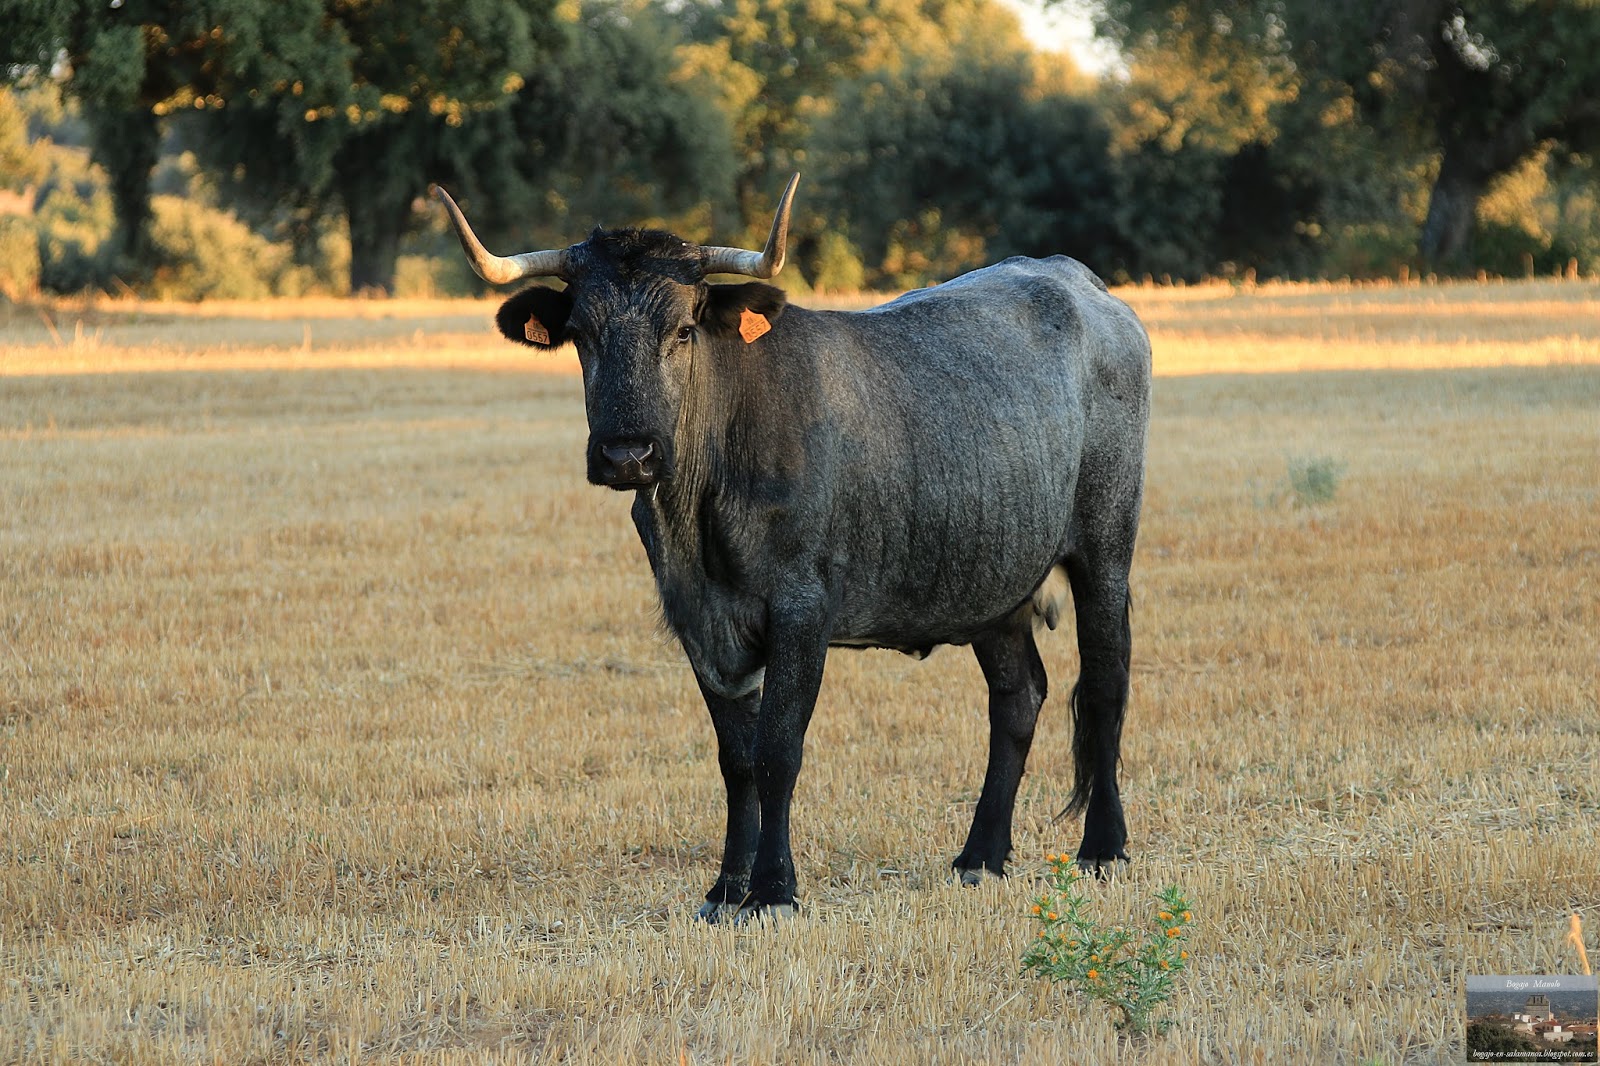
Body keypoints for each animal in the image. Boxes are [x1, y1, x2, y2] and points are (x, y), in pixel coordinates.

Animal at [432, 176, 1152, 922]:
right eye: (581, 333)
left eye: (682, 329)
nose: (627, 454)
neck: (698, 505)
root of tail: (1079, 283)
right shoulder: (700, 623)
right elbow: (736, 759)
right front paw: (725, 889)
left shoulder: (801, 612)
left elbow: (778, 750)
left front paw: (774, 890)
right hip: (992, 582)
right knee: (1017, 698)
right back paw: (980, 856)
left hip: (1105, 552)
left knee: (1105, 686)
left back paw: (1103, 847)